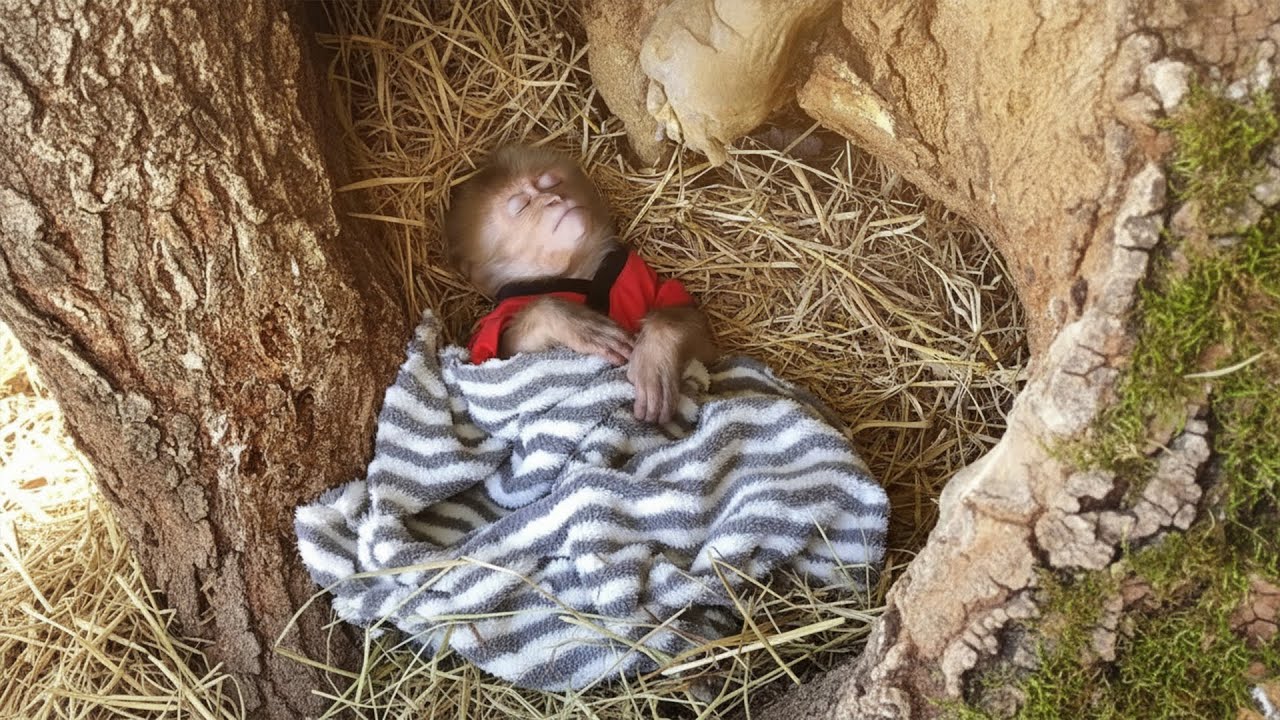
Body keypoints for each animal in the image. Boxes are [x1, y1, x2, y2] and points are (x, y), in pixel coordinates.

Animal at [443, 144, 716, 423]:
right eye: (521, 206)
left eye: (550, 182)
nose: (554, 200)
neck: (581, 273)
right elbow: (498, 356)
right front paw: (576, 324)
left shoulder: (639, 271)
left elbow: (699, 342)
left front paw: (655, 358)